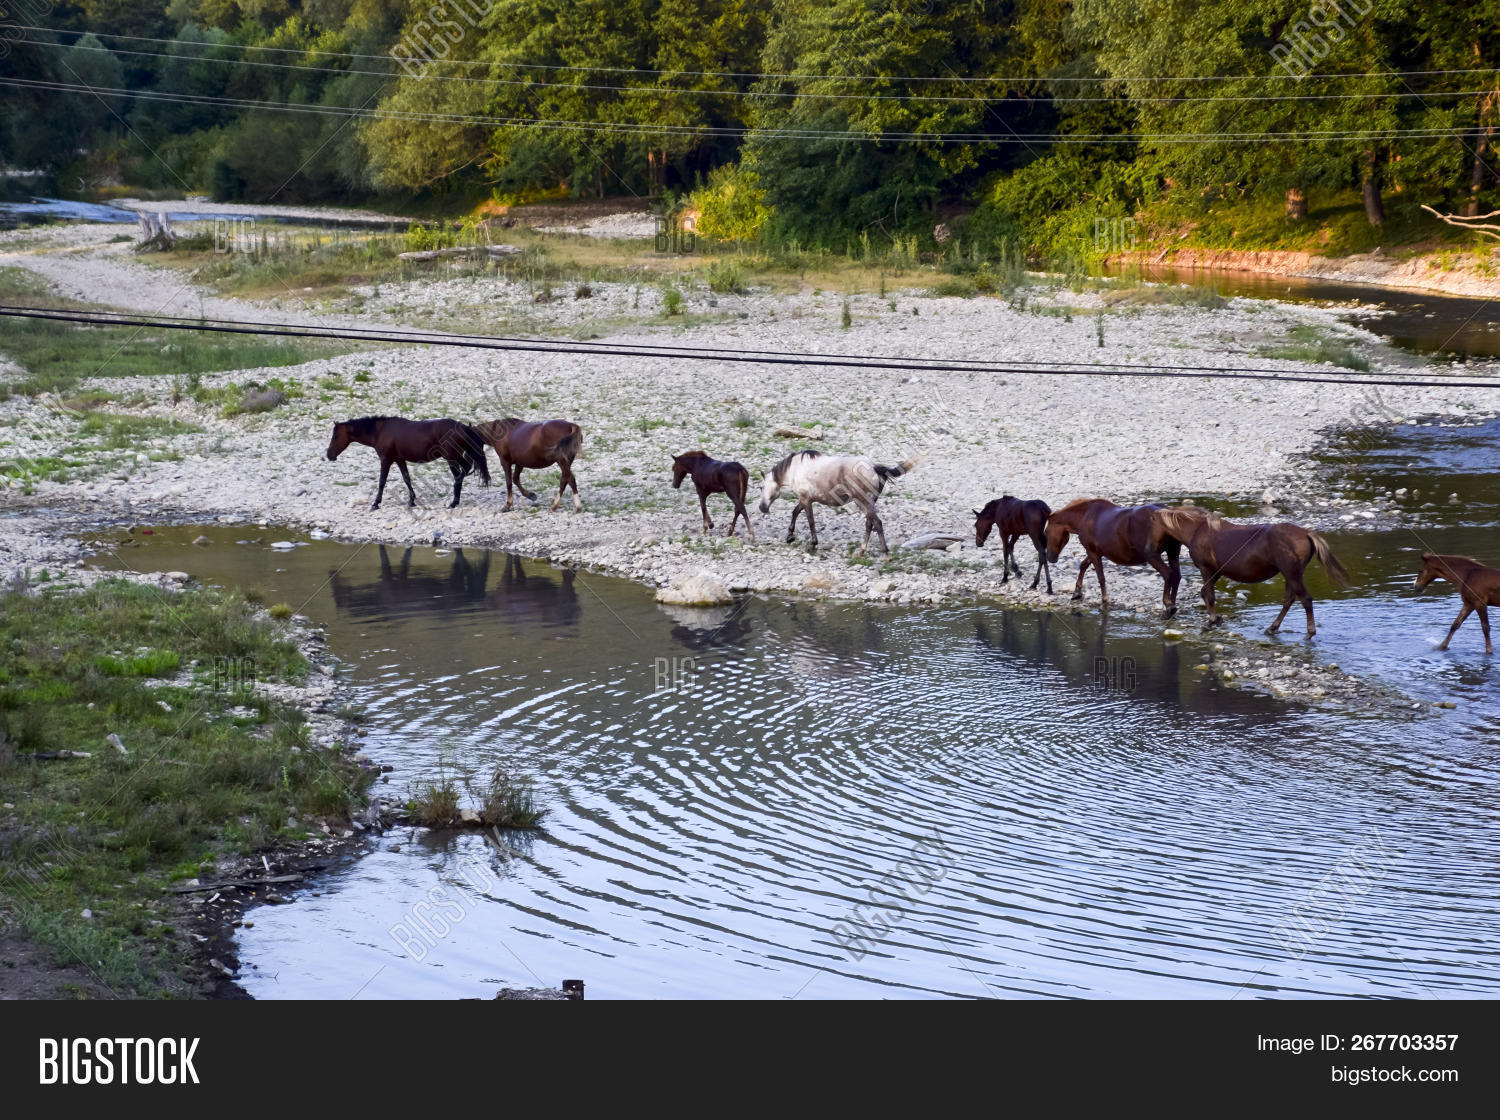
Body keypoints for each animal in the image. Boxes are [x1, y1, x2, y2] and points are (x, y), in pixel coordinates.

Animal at [325, 416, 490, 510]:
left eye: (335, 436)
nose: (329, 455)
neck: (381, 431)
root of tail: (463, 427)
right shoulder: (399, 459)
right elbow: (406, 479)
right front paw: (412, 501)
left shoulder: (386, 460)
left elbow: (382, 481)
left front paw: (375, 503)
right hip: (455, 457)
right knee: (464, 470)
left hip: (451, 457)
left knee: (460, 474)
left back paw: (454, 502)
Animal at [757, 449, 918, 554]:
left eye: (761, 487)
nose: (762, 507)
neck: (795, 469)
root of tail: (873, 467)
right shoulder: (806, 499)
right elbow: (795, 512)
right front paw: (790, 537)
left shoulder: (806, 499)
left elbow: (810, 521)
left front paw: (813, 544)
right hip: (868, 503)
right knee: (870, 523)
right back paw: (862, 550)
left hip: (862, 502)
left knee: (876, 523)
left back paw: (884, 552)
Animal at [1044, 498, 1182, 612]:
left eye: (1046, 532)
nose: (1050, 557)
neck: (1085, 515)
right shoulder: (1094, 552)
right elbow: (1083, 565)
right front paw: (1077, 592)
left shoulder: (1093, 553)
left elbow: (1101, 577)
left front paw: (1104, 600)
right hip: (1173, 551)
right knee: (1176, 576)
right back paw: (1172, 603)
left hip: (1152, 555)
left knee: (1168, 574)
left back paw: (1169, 605)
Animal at [1153, 507, 1349, 636]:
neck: (1196, 530)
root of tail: (1306, 533)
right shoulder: (1216, 571)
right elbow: (1205, 592)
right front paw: (1215, 619)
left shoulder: (1206, 569)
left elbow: (1209, 595)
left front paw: (1211, 622)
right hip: (1290, 575)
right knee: (1289, 600)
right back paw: (1272, 627)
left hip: (1292, 574)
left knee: (1306, 600)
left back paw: (1310, 632)